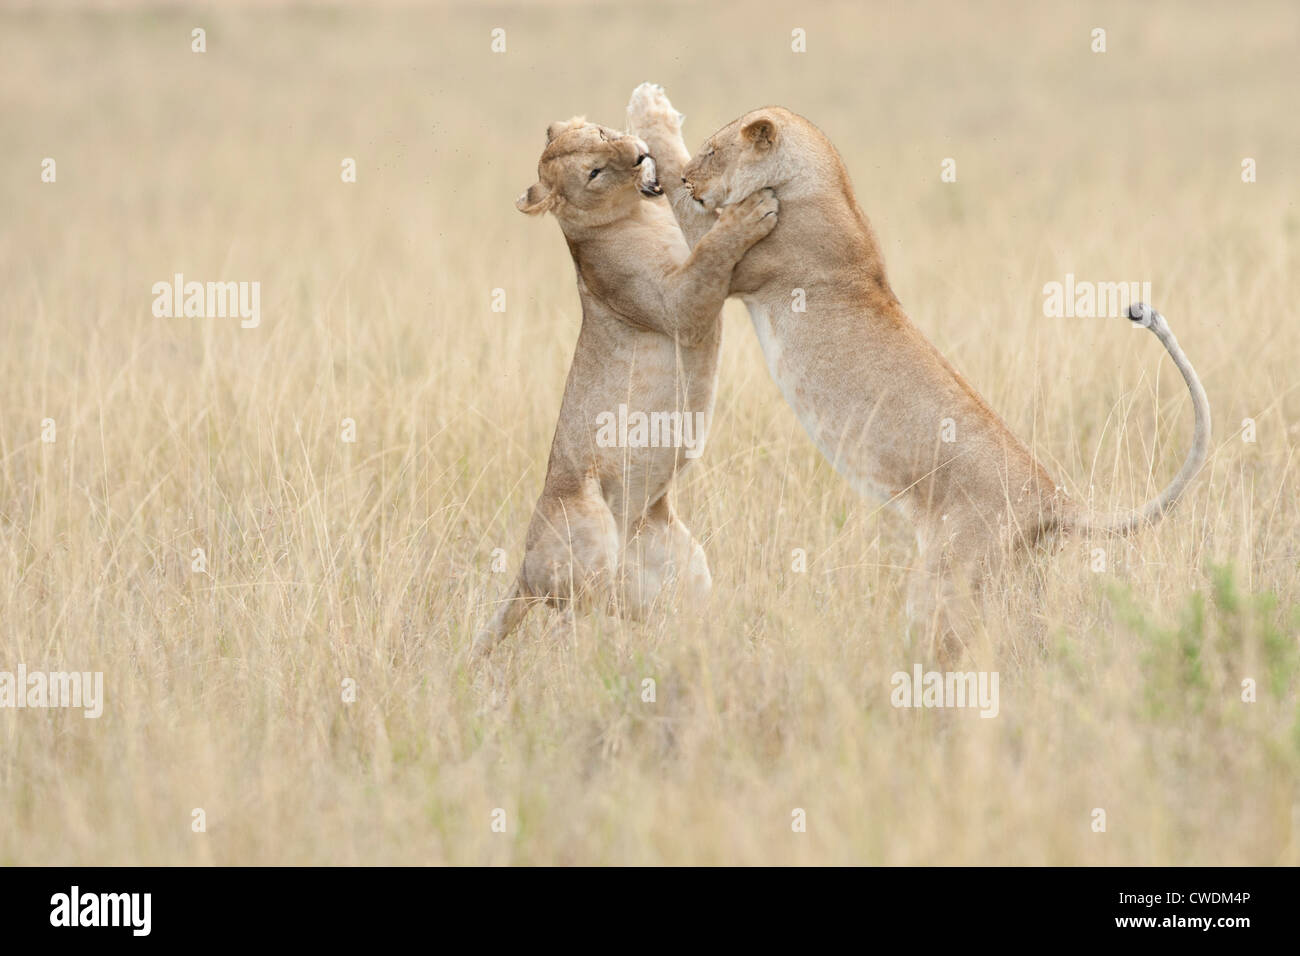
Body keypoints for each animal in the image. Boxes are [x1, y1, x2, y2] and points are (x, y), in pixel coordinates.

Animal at [471, 117, 779, 660]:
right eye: (593, 173)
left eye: (598, 133)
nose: (638, 154)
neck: (640, 211)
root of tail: (523, 573)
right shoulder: (676, 304)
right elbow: (712, 251)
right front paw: (751, 211)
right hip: (589, 528)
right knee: (569, 621)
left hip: (685, 566)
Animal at [627, 83, 1210, 662]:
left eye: (712, 152)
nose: (689, 181)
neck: (824, 182)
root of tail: (1053, 499)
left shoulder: (740, 264)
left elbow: (690, 205)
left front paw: (651, 113)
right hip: (1018, 581)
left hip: (945, 576)